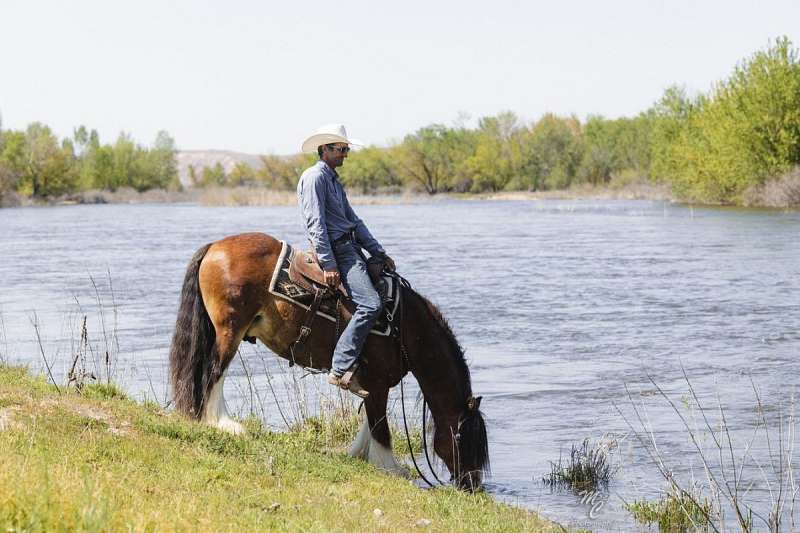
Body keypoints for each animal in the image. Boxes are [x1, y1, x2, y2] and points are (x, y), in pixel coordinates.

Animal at [168, 232, 488, 489]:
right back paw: (224, 424)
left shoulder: (372, 384)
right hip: (229, 331)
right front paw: (392, 469)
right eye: (463, 439)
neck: (404, 326)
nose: (472, 486)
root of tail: (214, 247)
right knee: (214, 372)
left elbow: (369, 423)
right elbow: (380, 428)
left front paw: (356, 455)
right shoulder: (377, 382)